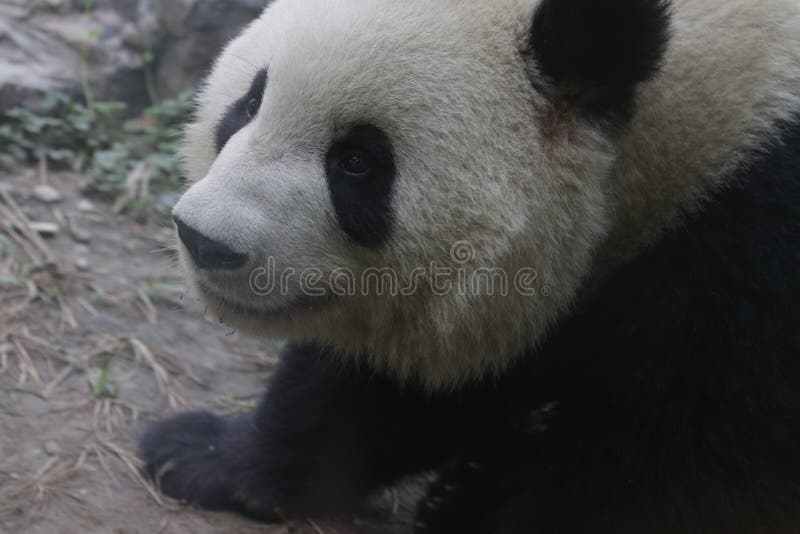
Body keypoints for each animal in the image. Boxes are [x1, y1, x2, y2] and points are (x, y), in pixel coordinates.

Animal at [139, 0, 800, 532]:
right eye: (249, 103)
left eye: (357, 161)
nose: (205, 240)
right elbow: (388, 386)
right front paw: (204, 456)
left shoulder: (752, 263)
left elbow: (678, 465)